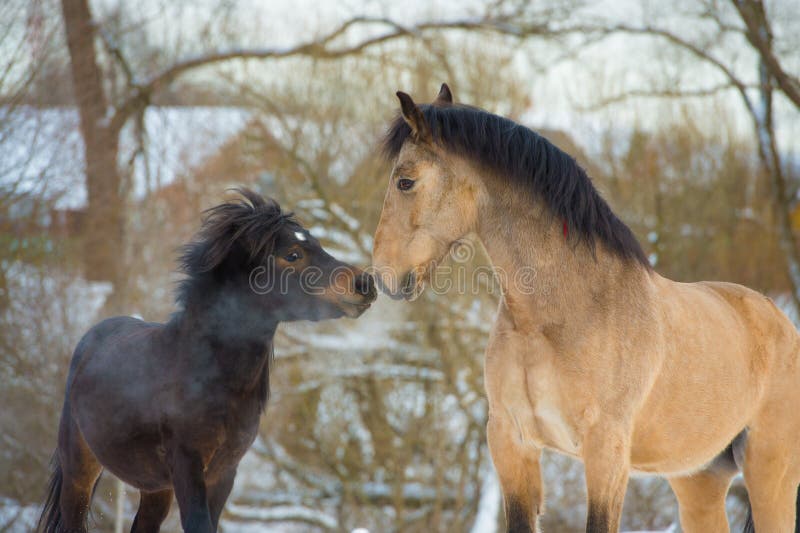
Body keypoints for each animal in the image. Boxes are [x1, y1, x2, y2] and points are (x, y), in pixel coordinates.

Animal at [38, 189, 376, 533]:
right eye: (293, 255)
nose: (365, 285)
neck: (205, 375)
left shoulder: (223, 472)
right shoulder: (187, 465)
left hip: (156, 489)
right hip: (79, 472)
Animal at [371, 84, 800, 533]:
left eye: (405, 181)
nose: (383, 276)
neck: (561, 314)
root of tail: (780, 321)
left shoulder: (605, 453)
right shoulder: (511, 443)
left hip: (770, 474)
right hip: (698, 480)